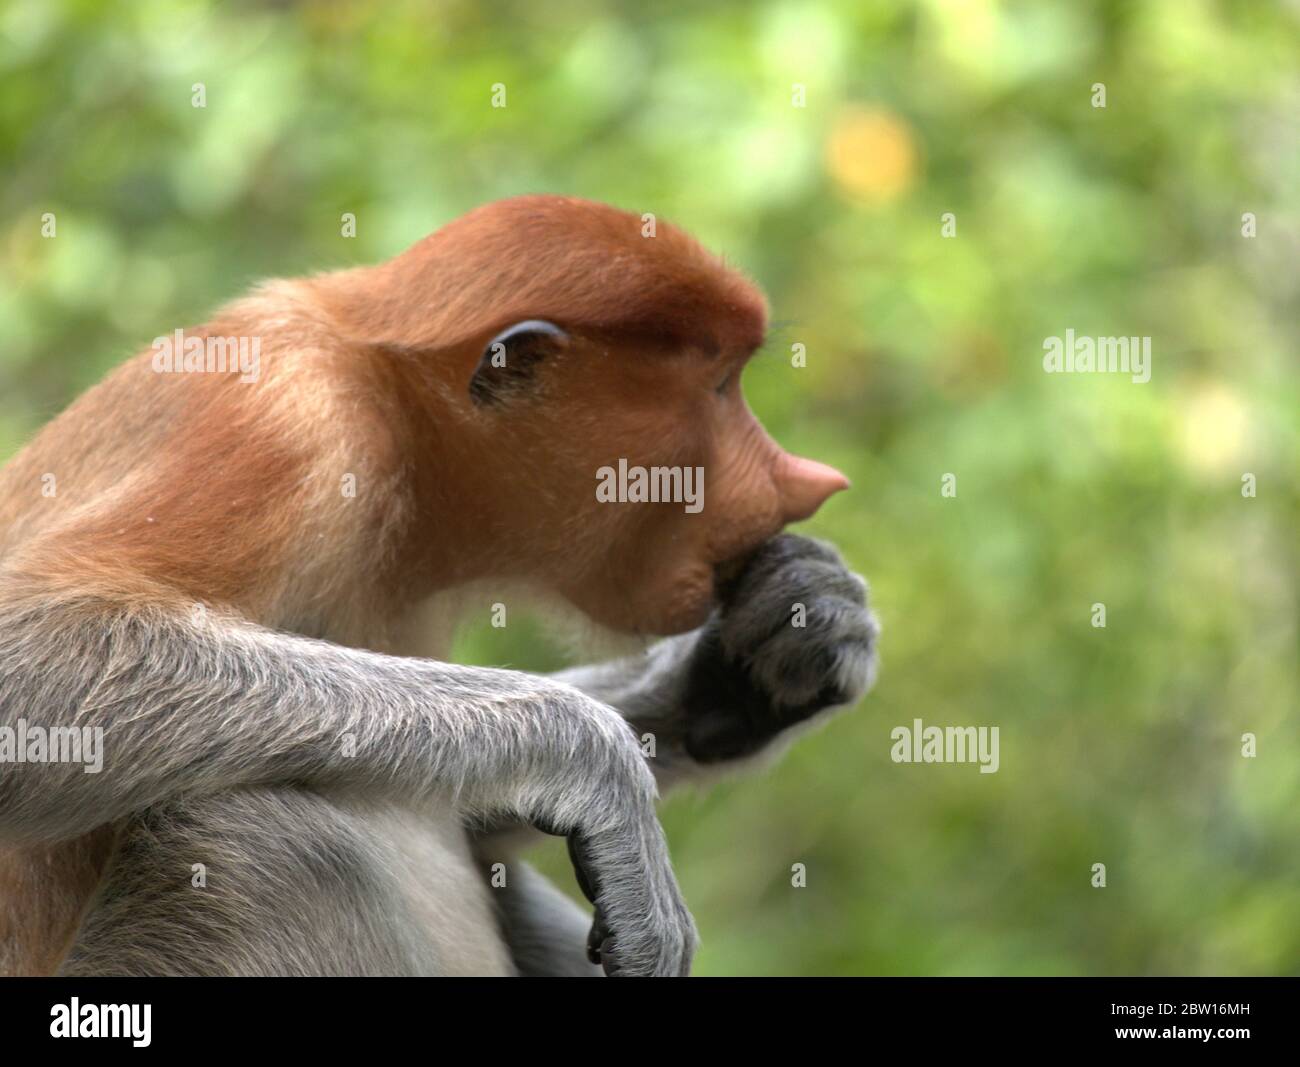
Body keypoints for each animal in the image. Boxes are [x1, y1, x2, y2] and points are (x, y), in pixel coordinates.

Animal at [0, 195, 878, 977]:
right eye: (720, 386)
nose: (805, 483)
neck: (392, 400)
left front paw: (773, 644)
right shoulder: (286, 425)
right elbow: (33, 656)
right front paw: (597, 764)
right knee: (264, 839)